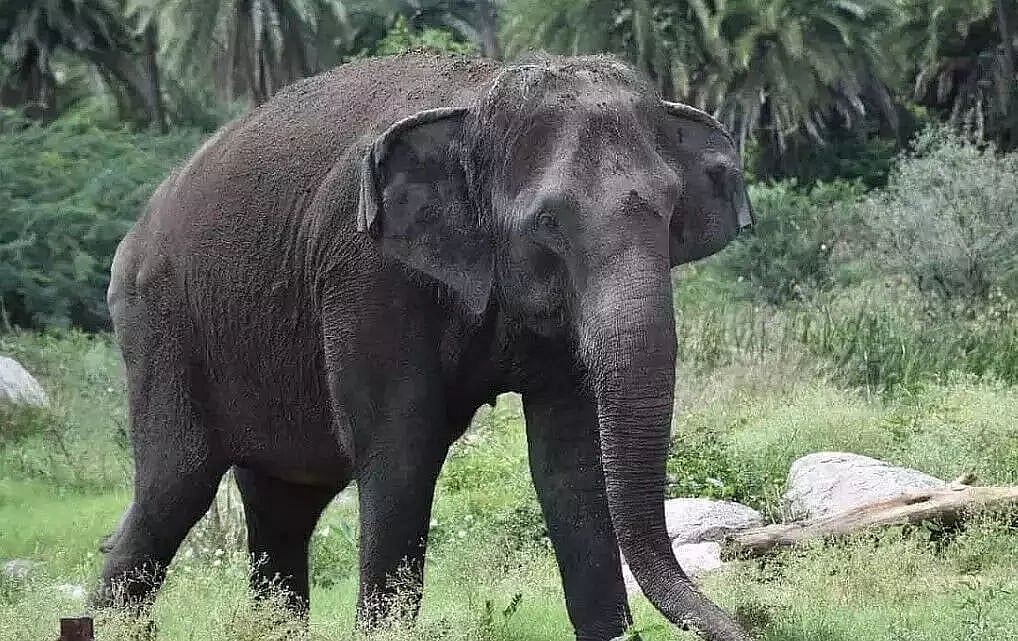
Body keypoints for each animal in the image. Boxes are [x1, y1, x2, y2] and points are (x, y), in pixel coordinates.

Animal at [94, 51, 756, 641]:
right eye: (548, 224)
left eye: (670, 212)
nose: (749, 624)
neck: (477, 97)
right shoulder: (368, 273)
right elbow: (402, 446)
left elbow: (568, 459)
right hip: (158, 330)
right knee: (174, 488)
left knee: (284, 507)